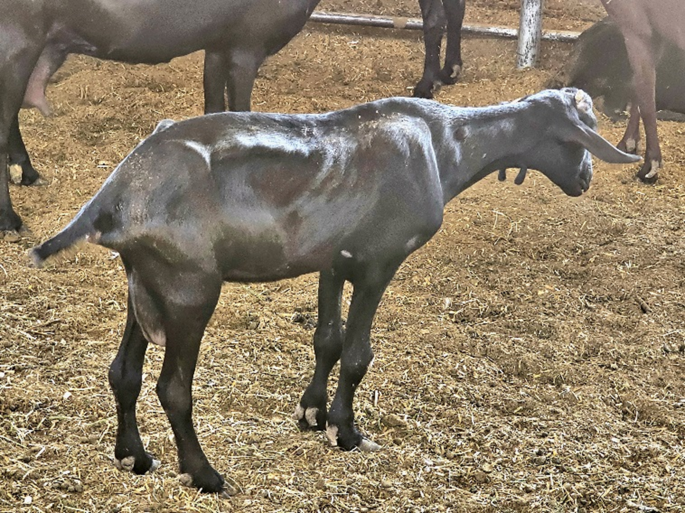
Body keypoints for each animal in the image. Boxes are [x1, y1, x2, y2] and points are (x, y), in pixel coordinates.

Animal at [31, 89, 638, 495]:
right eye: (577, 135)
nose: (585, 178)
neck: (444, 145)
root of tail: (117, 189)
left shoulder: (333, 261)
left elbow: (326, 338)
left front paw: (311, 413)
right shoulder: (377, 263)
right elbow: (357, 353)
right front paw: (347, 431)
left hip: (143, 281)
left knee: (124, 373)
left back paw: (134, 456)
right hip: (188, 287)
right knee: (172, 387)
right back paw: (205, 474)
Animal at [600, 0, 685, 182]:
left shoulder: (636, 28)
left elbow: (645, 97)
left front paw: (650, 165)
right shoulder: (657, 35)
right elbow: (638, 92)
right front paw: (629, 143)